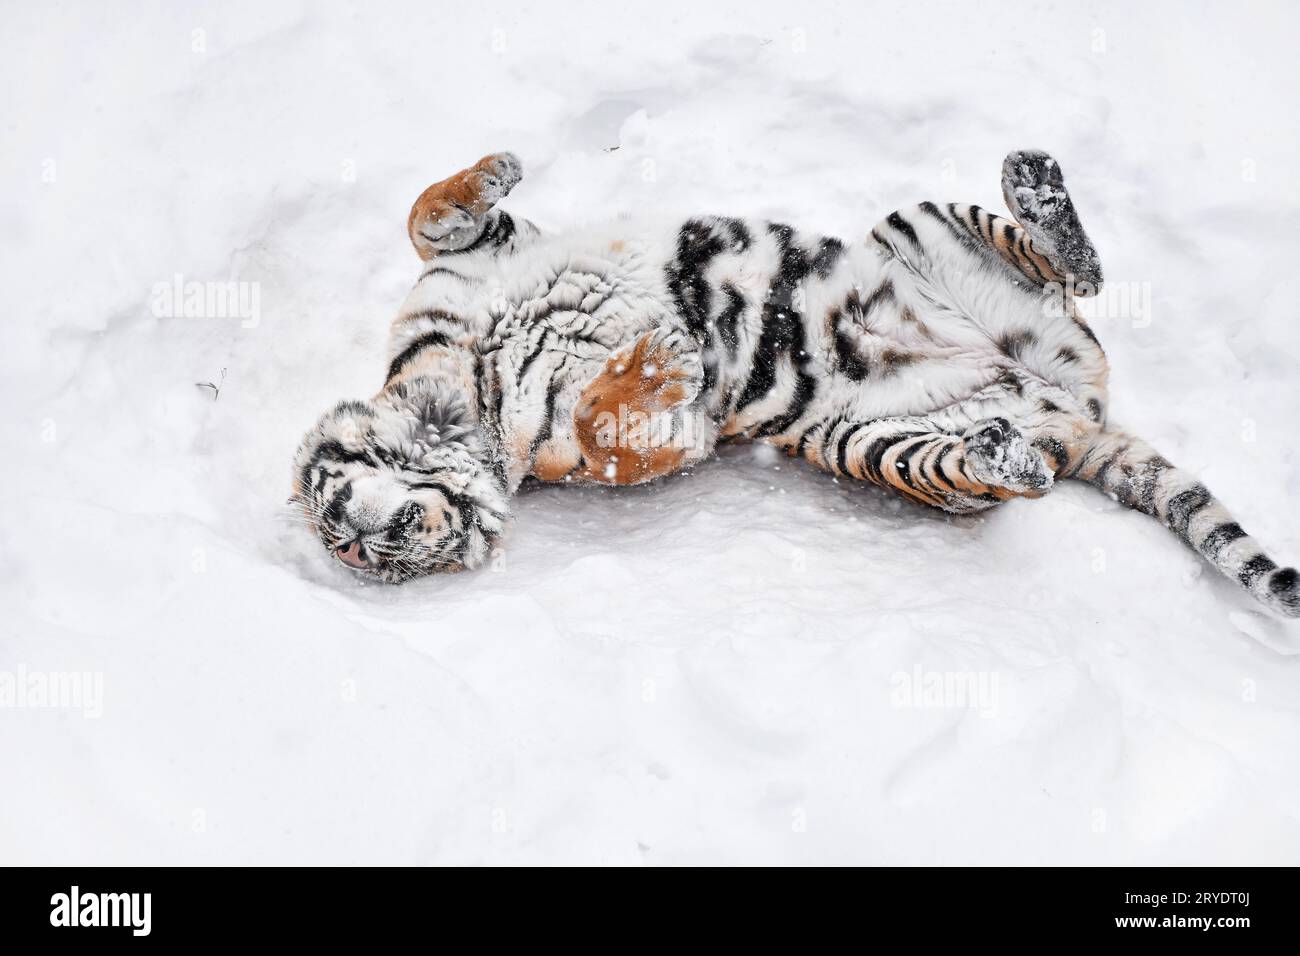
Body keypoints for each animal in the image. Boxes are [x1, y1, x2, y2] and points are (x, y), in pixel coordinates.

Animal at [290, 149, 1299, 618]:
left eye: (338, 523)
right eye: (353, 552)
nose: (370, 542)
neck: (454, 413)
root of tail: (1076, 413)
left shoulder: (467, 269)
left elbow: (428, 212)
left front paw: (493, 169)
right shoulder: (654, 446)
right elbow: (609, 428)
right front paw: (662, 363)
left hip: (922, 227)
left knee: (1074, 271)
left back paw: (1037, 184)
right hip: (872, 445)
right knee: (990, 480)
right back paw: (1003, 456)